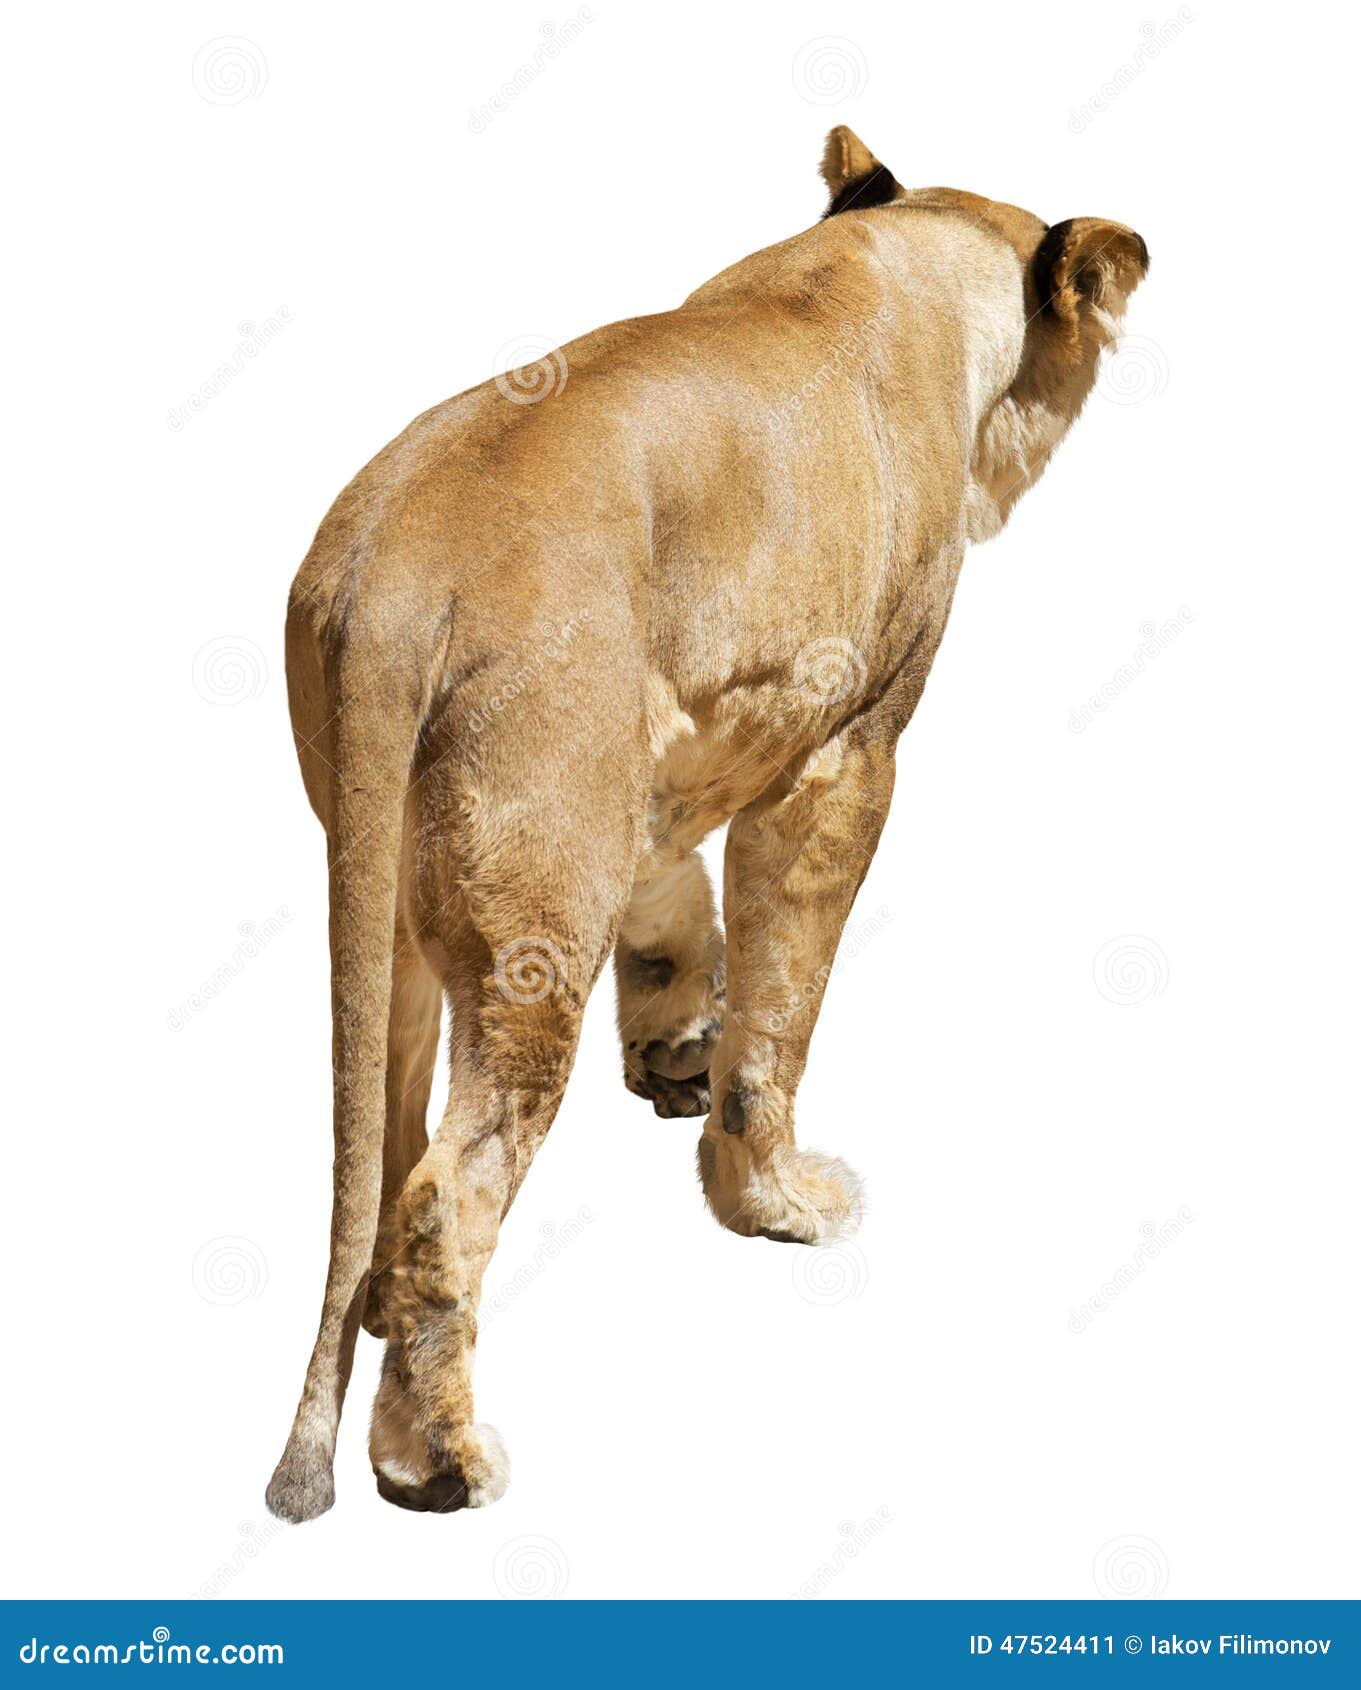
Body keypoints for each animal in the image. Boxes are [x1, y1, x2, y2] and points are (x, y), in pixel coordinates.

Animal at [266, 126, 1149, 1520]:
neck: (915, 252)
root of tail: (395, 575)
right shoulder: (848, 749)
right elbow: (780, 1011)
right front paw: (776, 1200)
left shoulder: (670, 734)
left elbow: (677, 903)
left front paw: (675, 1050)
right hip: (534, 922)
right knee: (445, 1188)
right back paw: (441, 1460)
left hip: (393, 886)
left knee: (386, 1153)